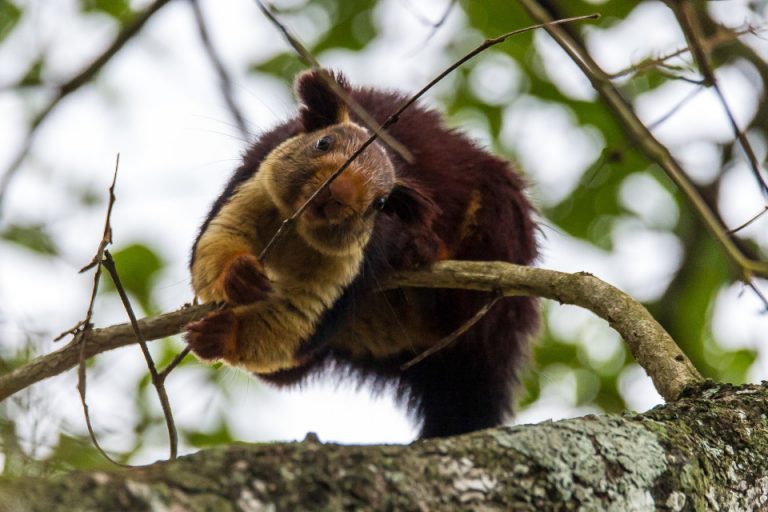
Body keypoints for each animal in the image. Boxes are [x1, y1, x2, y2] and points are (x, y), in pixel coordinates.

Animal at [186, 70, 539, 439]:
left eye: (379, 203)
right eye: (323, 143)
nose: (339, 192)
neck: (300, 234)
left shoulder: (356, 261)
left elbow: (301, 315)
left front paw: (225, 335)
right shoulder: (254, 186)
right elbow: (218, 241)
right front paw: (238, 275)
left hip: (500, 228)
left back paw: (424, 253)